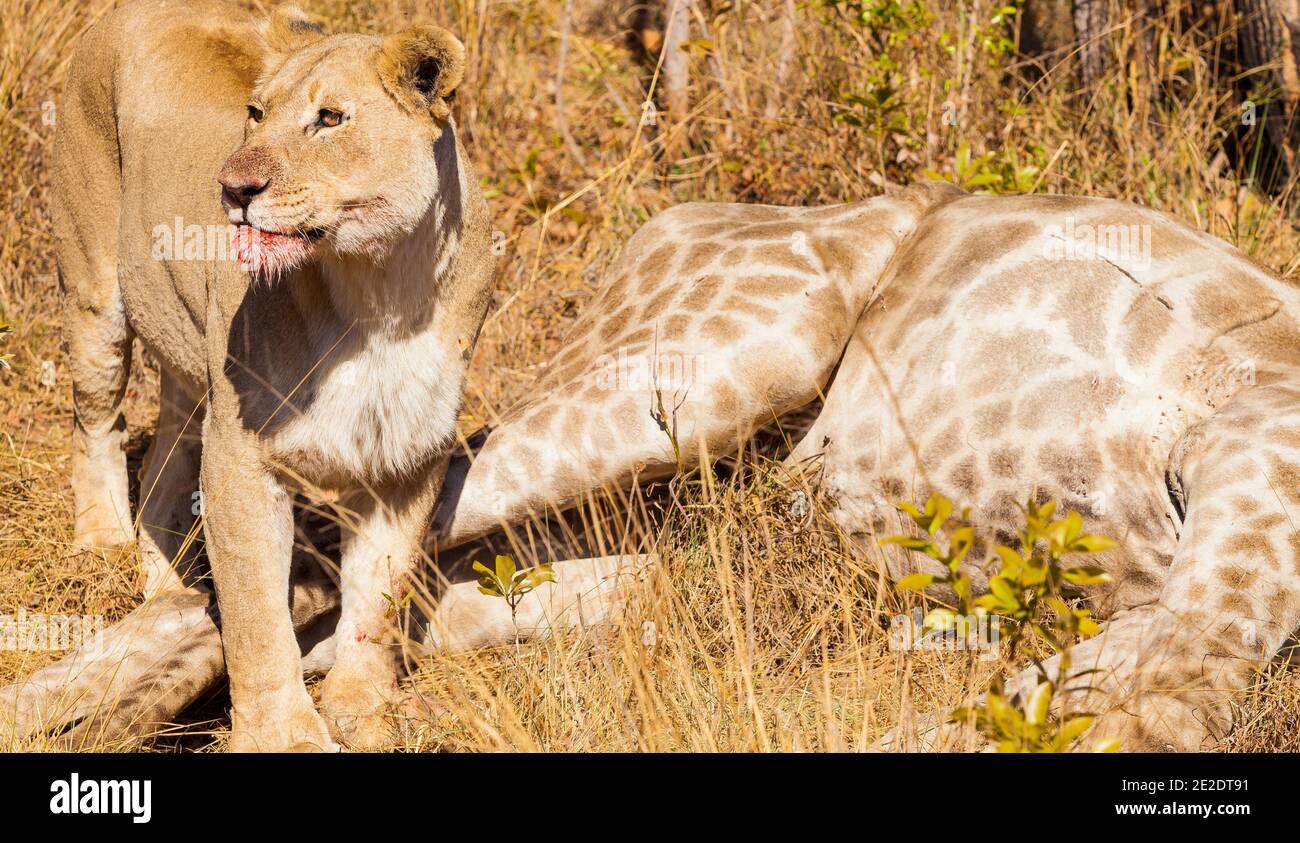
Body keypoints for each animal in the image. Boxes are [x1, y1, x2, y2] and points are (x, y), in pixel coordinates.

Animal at [6, 181, 1300, 751]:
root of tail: (666, 224)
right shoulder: (1249, 441)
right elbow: (1190, 663)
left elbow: (1142, 671)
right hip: (720, 355)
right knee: (306, 548)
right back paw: (72, 705)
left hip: (686, 530)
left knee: (397, 583)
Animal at [50, 0, 494, 751]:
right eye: (256, 113)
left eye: (331, 118)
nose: (233, 188)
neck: (377, 292)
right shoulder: (243, 456)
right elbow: (258, 613)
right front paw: (286, 733)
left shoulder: (409, 457)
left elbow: (381, 590)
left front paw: (361, 708)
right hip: (95, 293)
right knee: (97, 423)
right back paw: (102, 544)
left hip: (191, 359)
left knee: (166, 462)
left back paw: (165, 587)